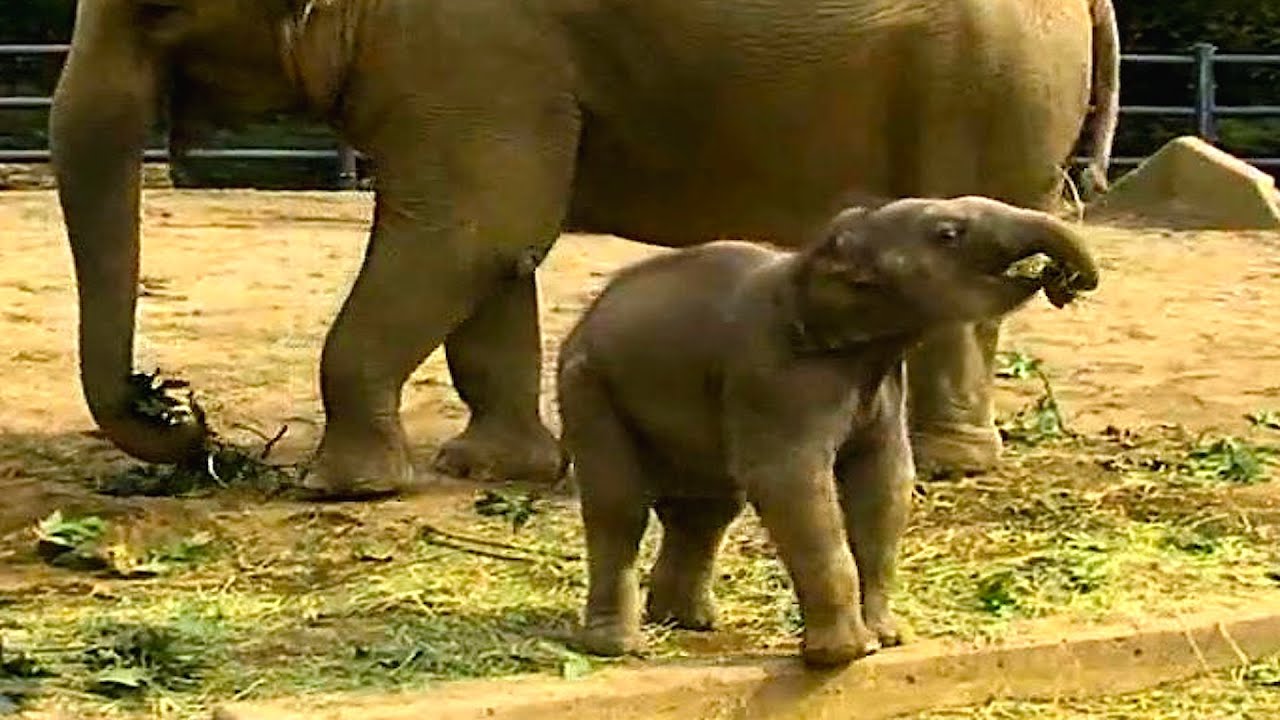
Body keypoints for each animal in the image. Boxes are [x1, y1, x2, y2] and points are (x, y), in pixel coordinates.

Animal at [49, 0, 1120, 499]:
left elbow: (465, 230)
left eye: (156, 10)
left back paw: (949, 466)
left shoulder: (468, 52)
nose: (185, 413)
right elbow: (498, 252)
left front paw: (343, 489)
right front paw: (494, 471)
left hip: (987, 87)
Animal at [556, 196, 1101, 666]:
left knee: (706, 510)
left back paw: (690, 622)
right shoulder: (776, 377)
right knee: (620, 507)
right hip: (588, 388)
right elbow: (790, 483)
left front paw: (890, 638)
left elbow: (885, 482)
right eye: (948, 234)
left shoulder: (882, 383)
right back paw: (620, 647)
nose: (1062, 279)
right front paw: (847, 655)